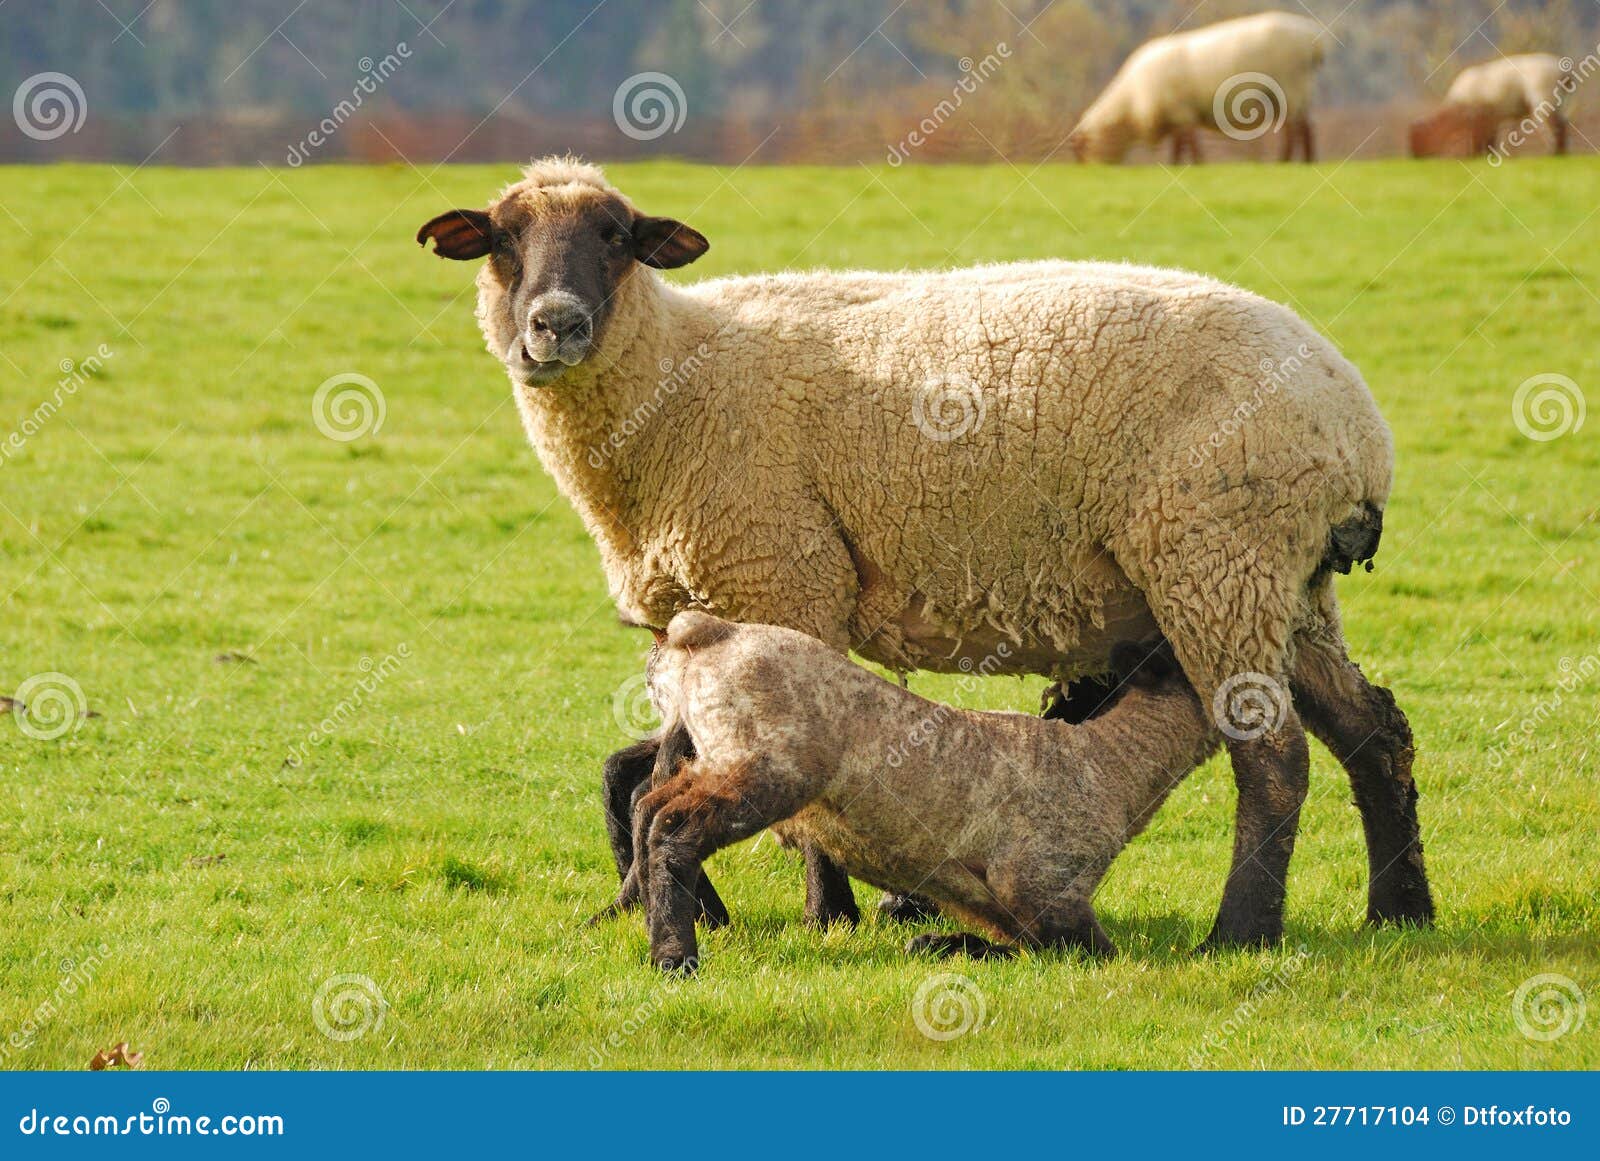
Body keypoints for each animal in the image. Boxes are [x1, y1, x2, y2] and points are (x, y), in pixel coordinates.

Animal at [634, 614, 1218, 971]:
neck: (1114, 762)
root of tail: (714, 631)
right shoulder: (1040, 886)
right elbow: (1097, 954)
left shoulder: (1012, 908)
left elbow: (1023, 946)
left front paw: (940, 945)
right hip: (767, 768)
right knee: (675, 829)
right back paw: (674, 958)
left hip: (708, 754)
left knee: (647, 806)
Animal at [1068, 12, 1326, 164]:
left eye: (1082, 152)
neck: (1129, 103)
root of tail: (1313, 39)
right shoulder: (1178, 114)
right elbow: (1181, 142)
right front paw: (1179, 164)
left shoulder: (1180, 111)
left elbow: (1187, 142)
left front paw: (1194, 164)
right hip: (1304, 90)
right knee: (1307, 127)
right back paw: (1308, 160)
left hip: (1291, 88)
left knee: (1293, 128)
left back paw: (1285, 160)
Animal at [1410, 54, 1573, 158]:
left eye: (1418, 137)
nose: (1414, 158)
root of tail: (1564, 73)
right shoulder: (1490, 119)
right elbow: (1489, 141)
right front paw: (1488, 157)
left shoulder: (1478, 117)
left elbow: (1478, 140)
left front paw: (1474, 157)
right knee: (1562, 124)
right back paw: (1561, 153)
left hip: (1543, 98)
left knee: (1555, 126)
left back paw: (1554, 154)